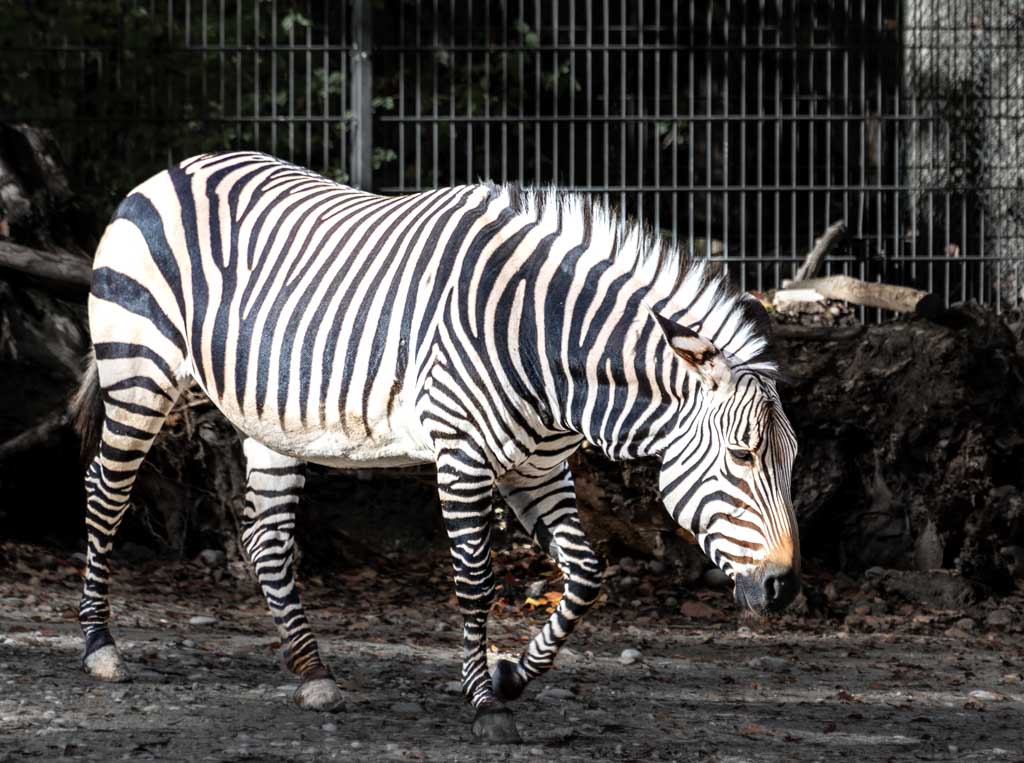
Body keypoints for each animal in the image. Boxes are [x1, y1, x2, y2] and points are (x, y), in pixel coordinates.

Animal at [70, 151, 800, 743]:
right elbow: (477, 582)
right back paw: (100, 647)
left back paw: (312, 668)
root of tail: (171, 171)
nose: (785, 587)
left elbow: (587, 574)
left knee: (267, 537)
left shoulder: (538, 467)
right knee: (105, 496)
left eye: (790, 461)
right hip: (137, 371)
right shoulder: (463, 455)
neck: (547, 344)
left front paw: (511, 676)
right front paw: (485, 702)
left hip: (271, 419)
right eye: (741, 457)